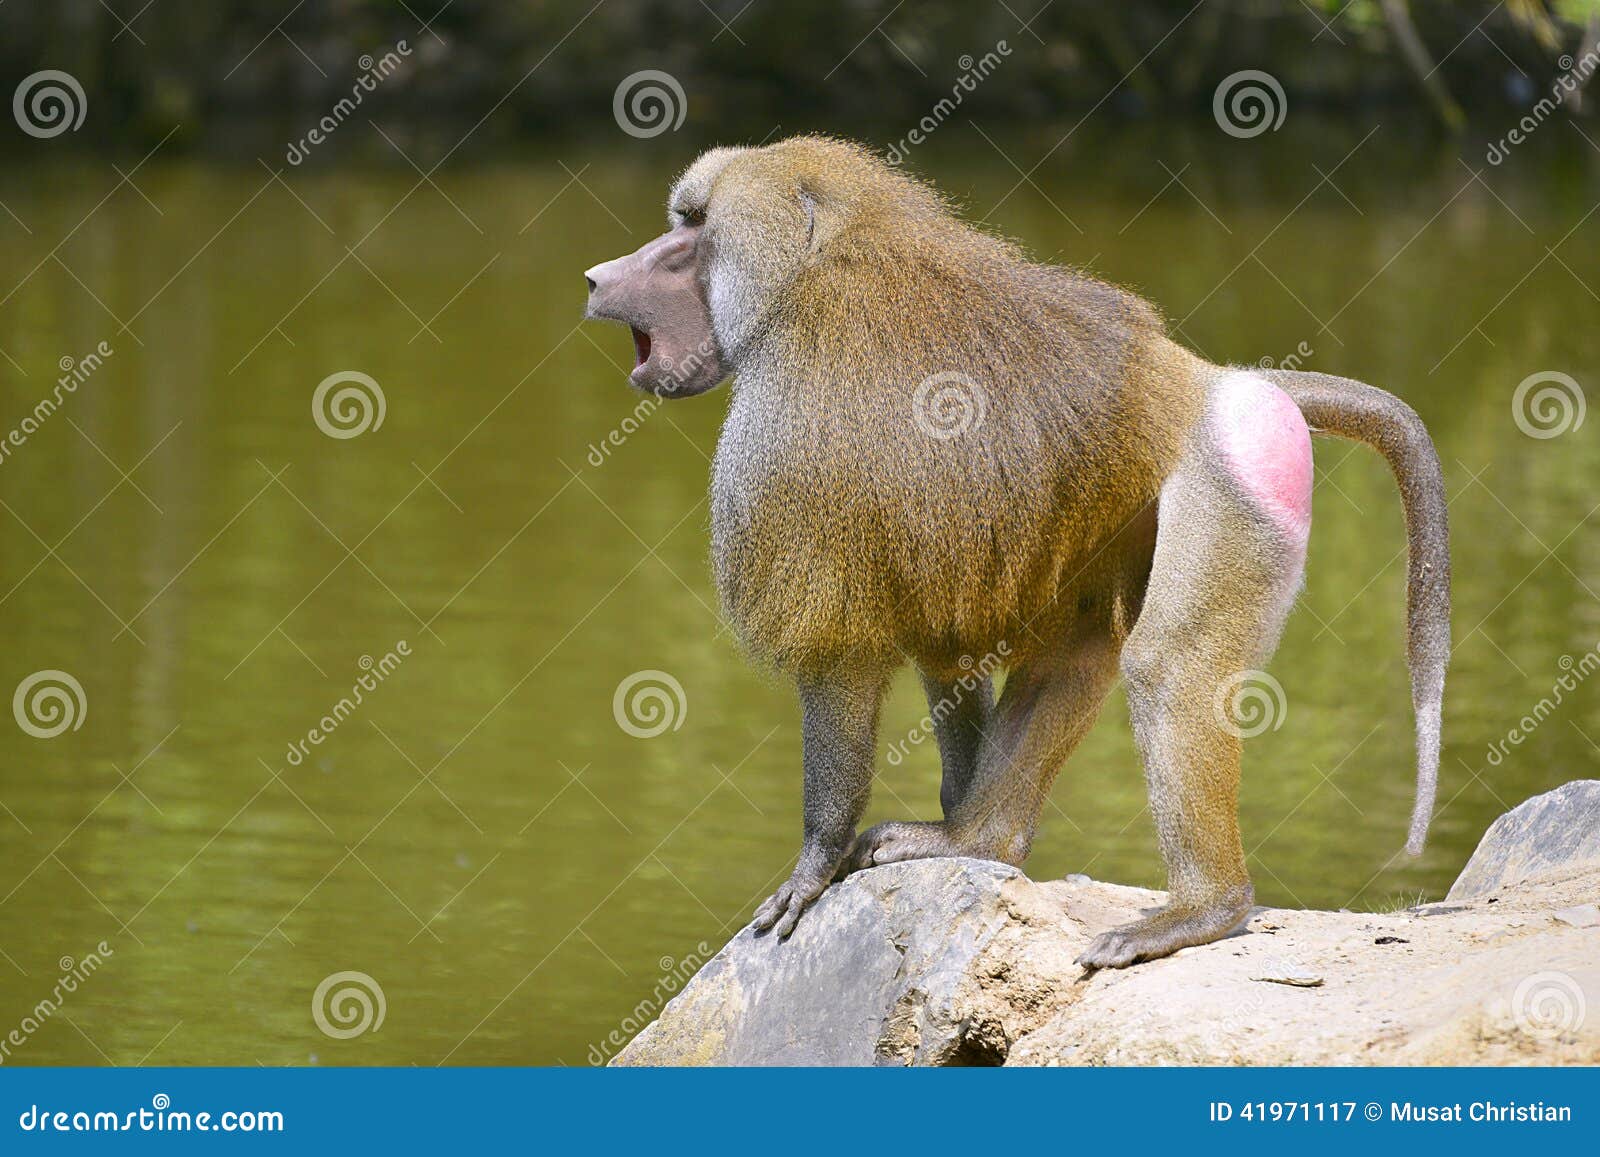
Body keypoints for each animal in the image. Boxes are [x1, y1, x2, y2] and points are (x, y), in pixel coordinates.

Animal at [582, 136, 1449, 969]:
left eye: (693, 229)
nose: (596, 277)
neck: (816, 271)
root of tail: (1212, 380)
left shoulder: (788, 432)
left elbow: (838, 656)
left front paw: (814, 864)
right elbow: (947, 639)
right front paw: (951, 831)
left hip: (1231, 489)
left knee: (1165, 663)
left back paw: (1203, 909)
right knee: (1085, 650)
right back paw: (979, 839)